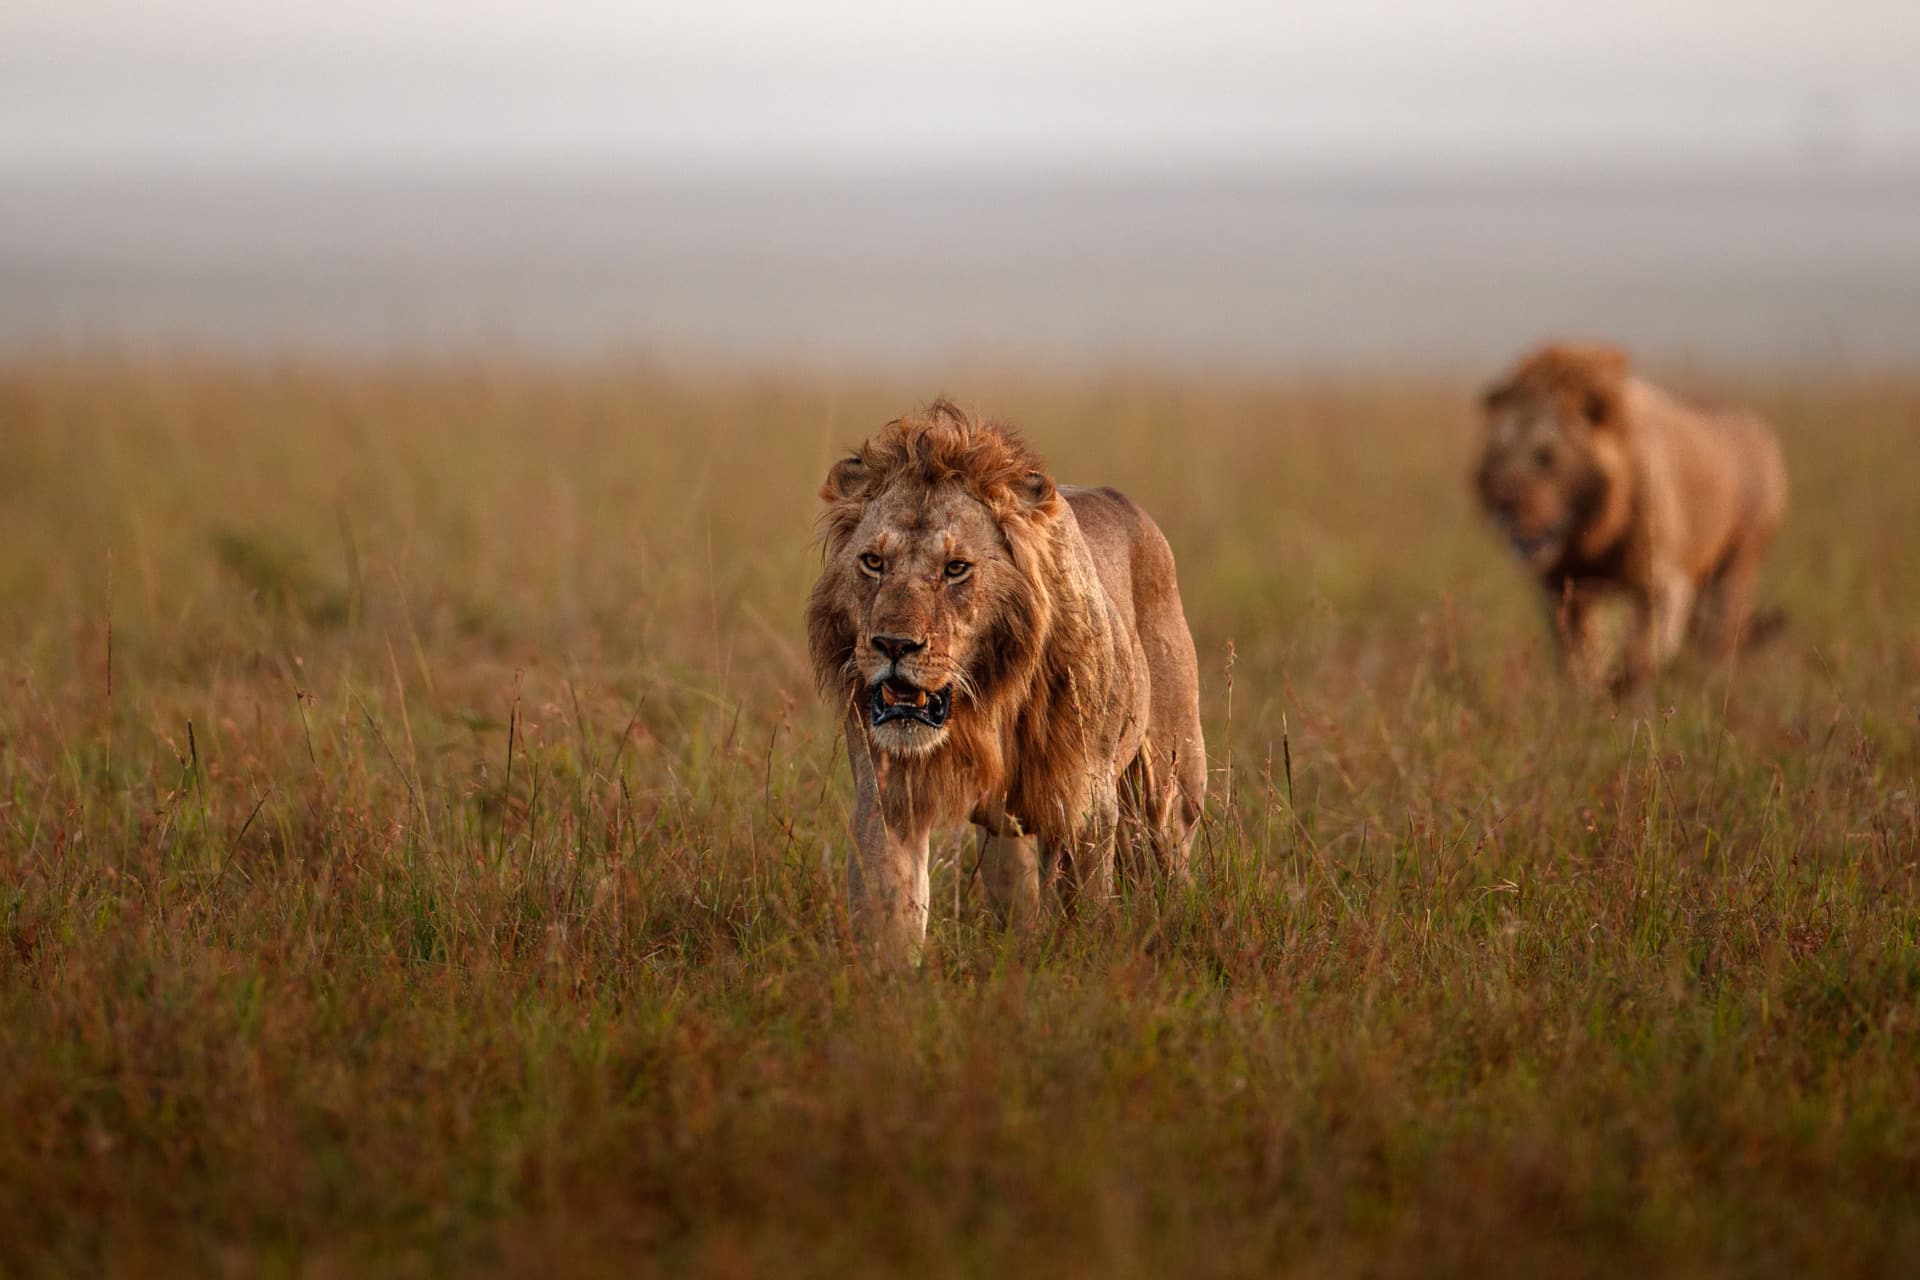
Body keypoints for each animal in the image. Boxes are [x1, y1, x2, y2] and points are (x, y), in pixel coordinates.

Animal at [806, 399, 1206, 966]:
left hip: (1170, 786)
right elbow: (889, 920)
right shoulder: (889, 796)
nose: (893, 645)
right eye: (873, 562)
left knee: (1169, 864)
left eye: (956, 568)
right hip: (1004, 832)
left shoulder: (1085, 806)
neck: (985, 696)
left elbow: (1083, 921)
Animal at [1474, 343, 1788, 693]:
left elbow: (1640, 657)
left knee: (1723, 634)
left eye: (1546, 456)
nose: (1506, 505)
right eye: (1498, 455)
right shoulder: (1560, 589)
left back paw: (1716, 682)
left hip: (1740, 559)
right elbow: (1578, 658)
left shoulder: (1663, 585)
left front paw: (1624, 693)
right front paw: (1588, 695)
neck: (1591, 533)